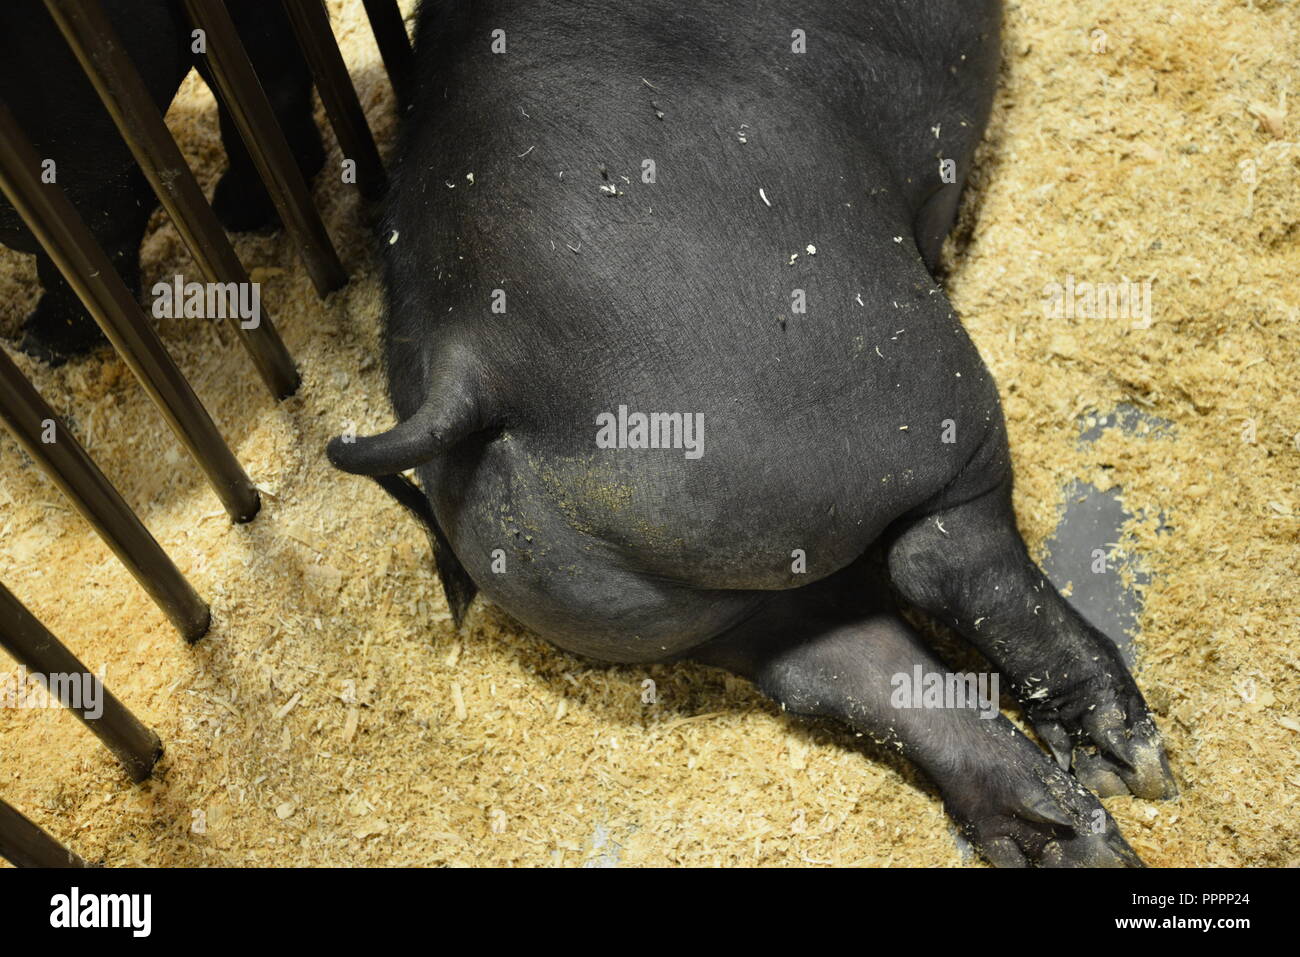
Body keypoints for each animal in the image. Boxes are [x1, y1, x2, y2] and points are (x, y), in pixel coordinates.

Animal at [328, 0, 1177, 866]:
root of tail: (478, 360)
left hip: (697, 599)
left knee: (850, 673)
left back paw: (1078, 836)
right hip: (906, 392)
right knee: (946, 558)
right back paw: (1133, 762)